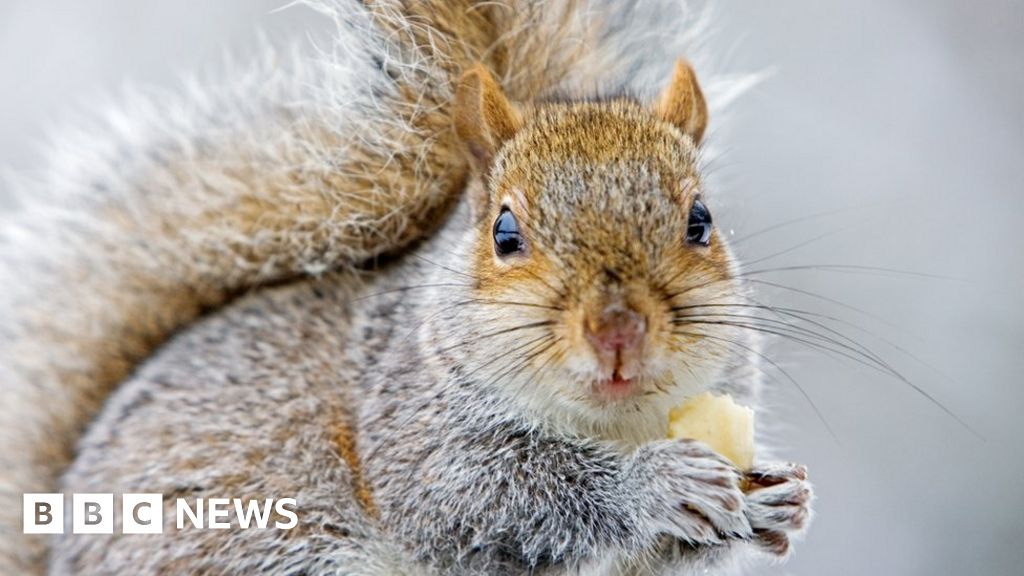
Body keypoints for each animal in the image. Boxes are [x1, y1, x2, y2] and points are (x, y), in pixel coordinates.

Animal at [1, 1, 812, 574]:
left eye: (701, 221)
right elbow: (480, 498)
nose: (619, 332)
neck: (612, 424)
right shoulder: (408, 424)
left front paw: (775, 497)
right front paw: (655, 483)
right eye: (505, 233)